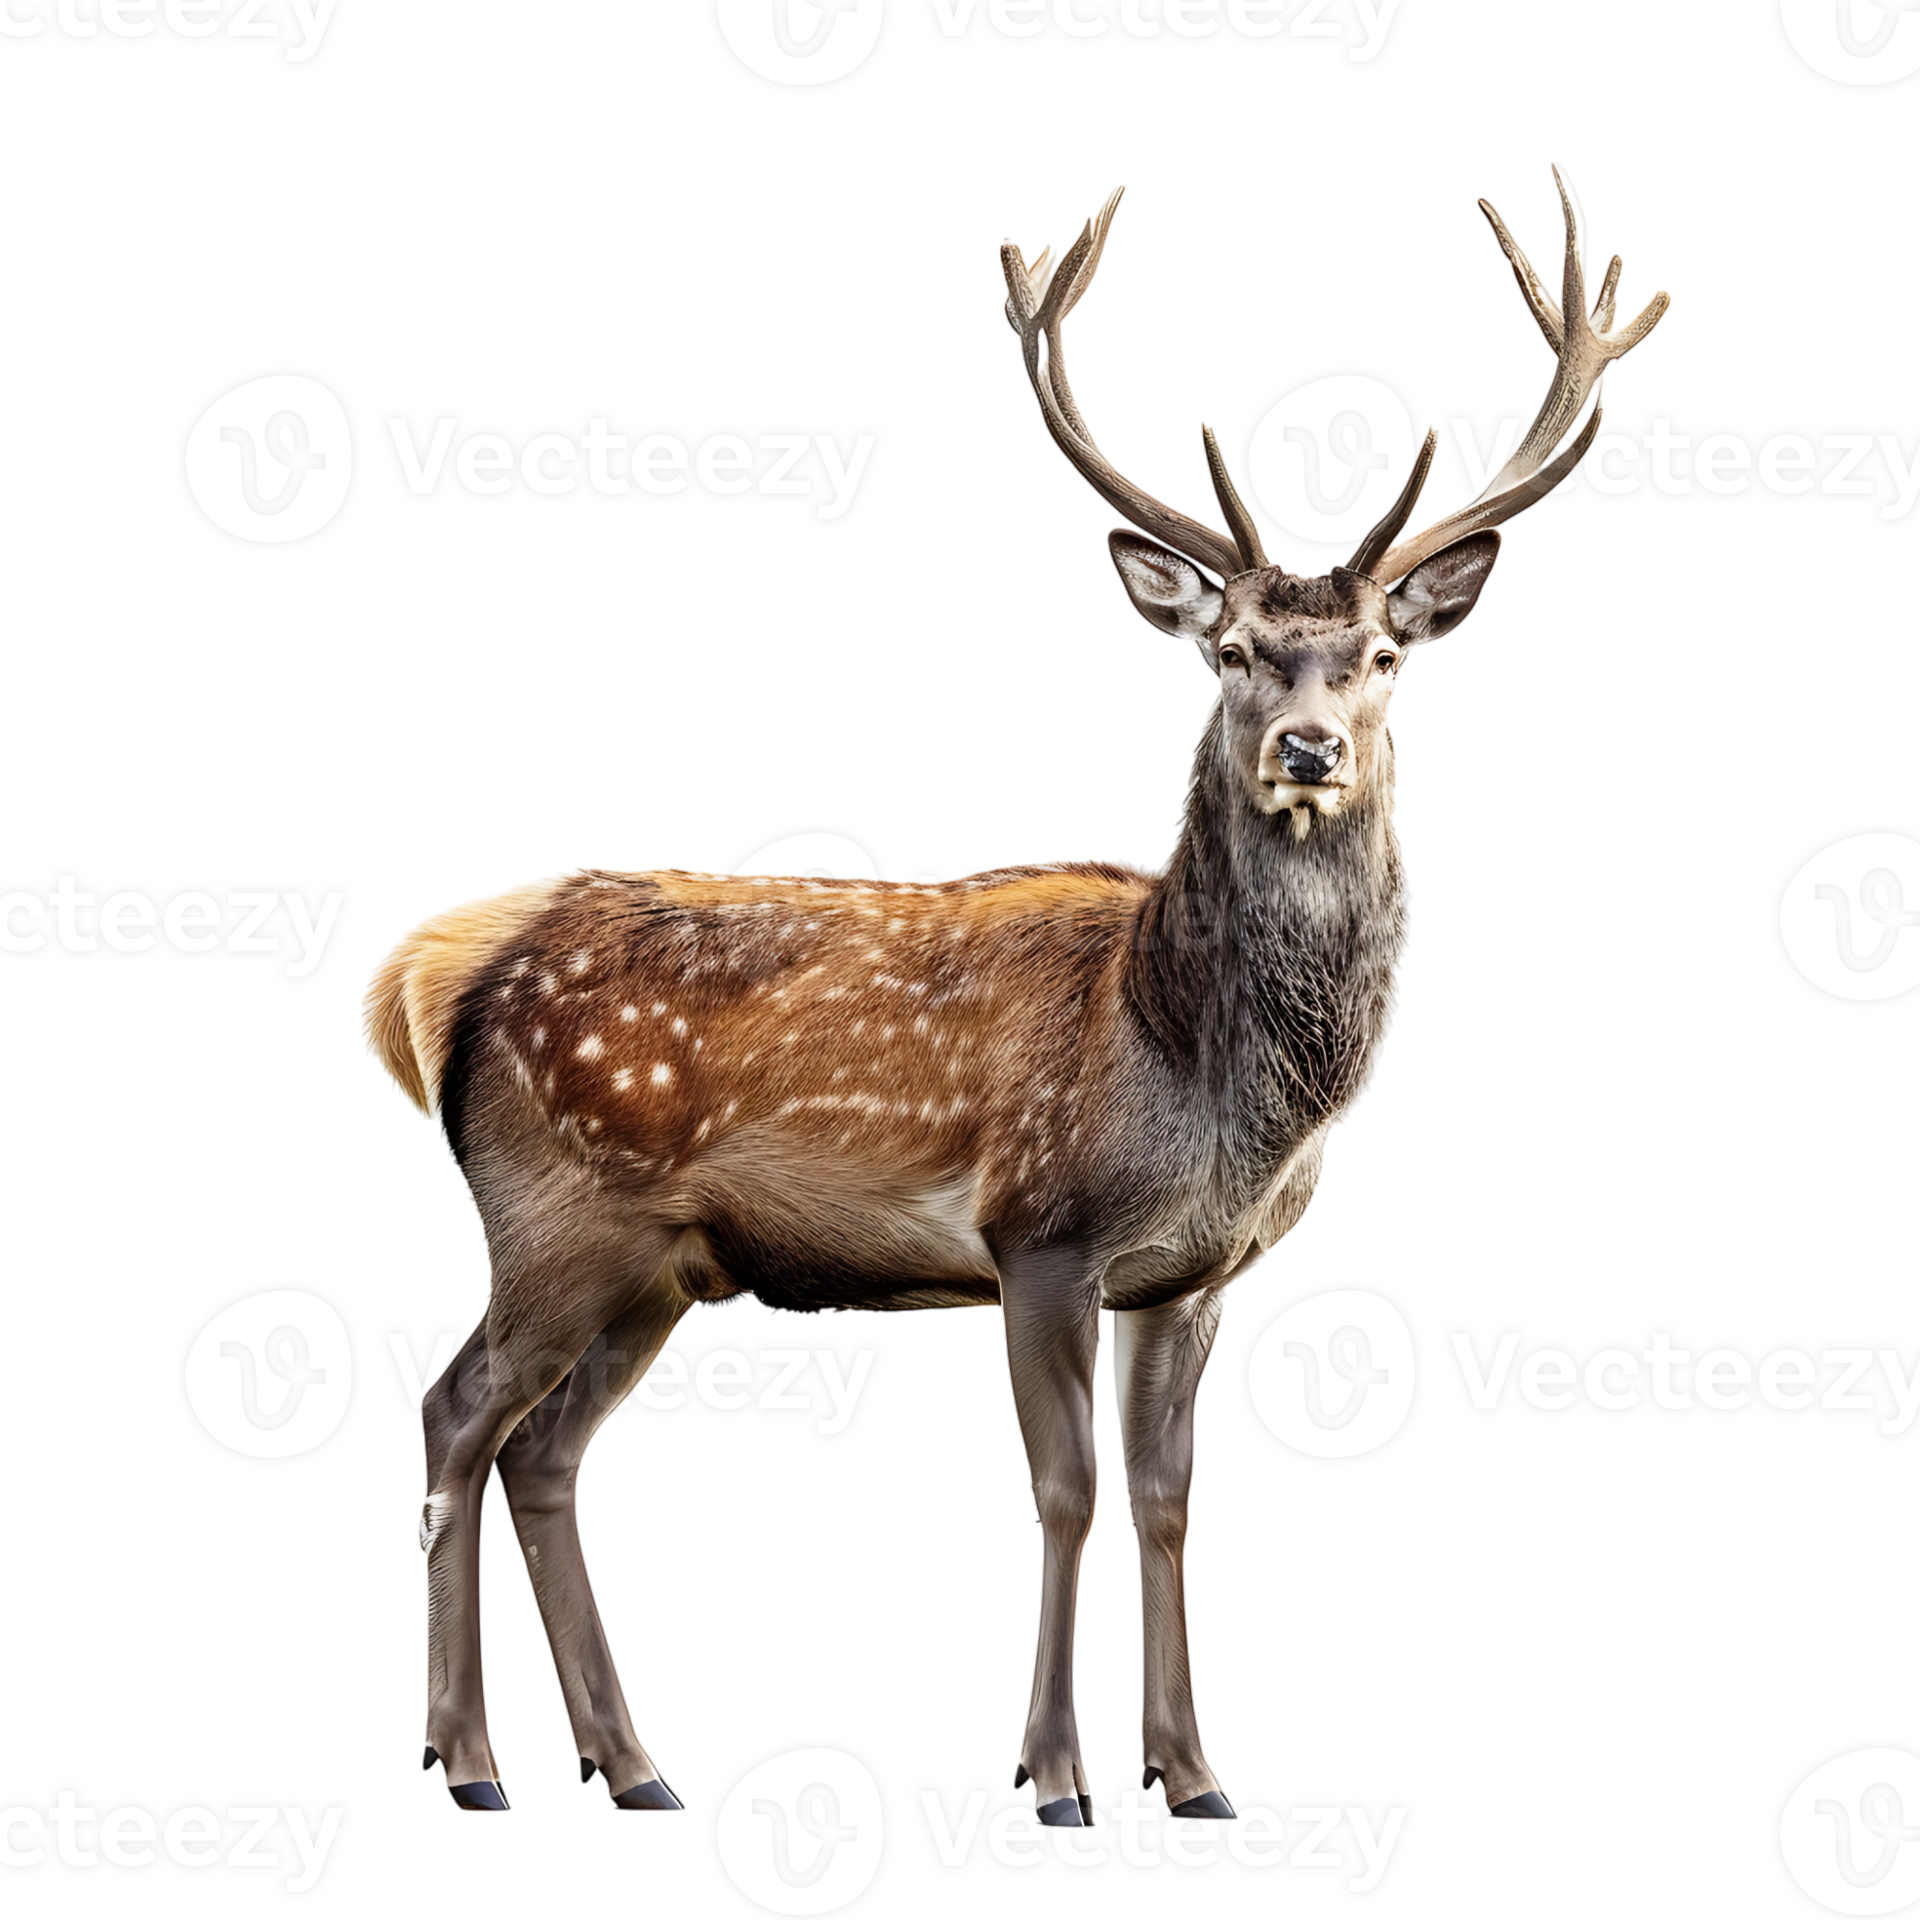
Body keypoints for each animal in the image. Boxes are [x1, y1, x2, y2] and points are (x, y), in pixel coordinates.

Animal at [362, 164, 1667, 1825]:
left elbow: (1168, 1501)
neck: (1190, 1073)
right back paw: (468, 1763)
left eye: (1381, 655)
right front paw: (1053, 1778)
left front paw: (1195, 1775)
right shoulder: (1040, 1234)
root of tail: (434, 974)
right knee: (455, 1416)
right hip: (547, 1212)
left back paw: (635, 1767)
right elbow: (1066, 1493)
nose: (1307, 749)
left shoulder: (1193, 1275)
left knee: (546, 1456)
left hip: (657, 1265)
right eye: (1231, 652)